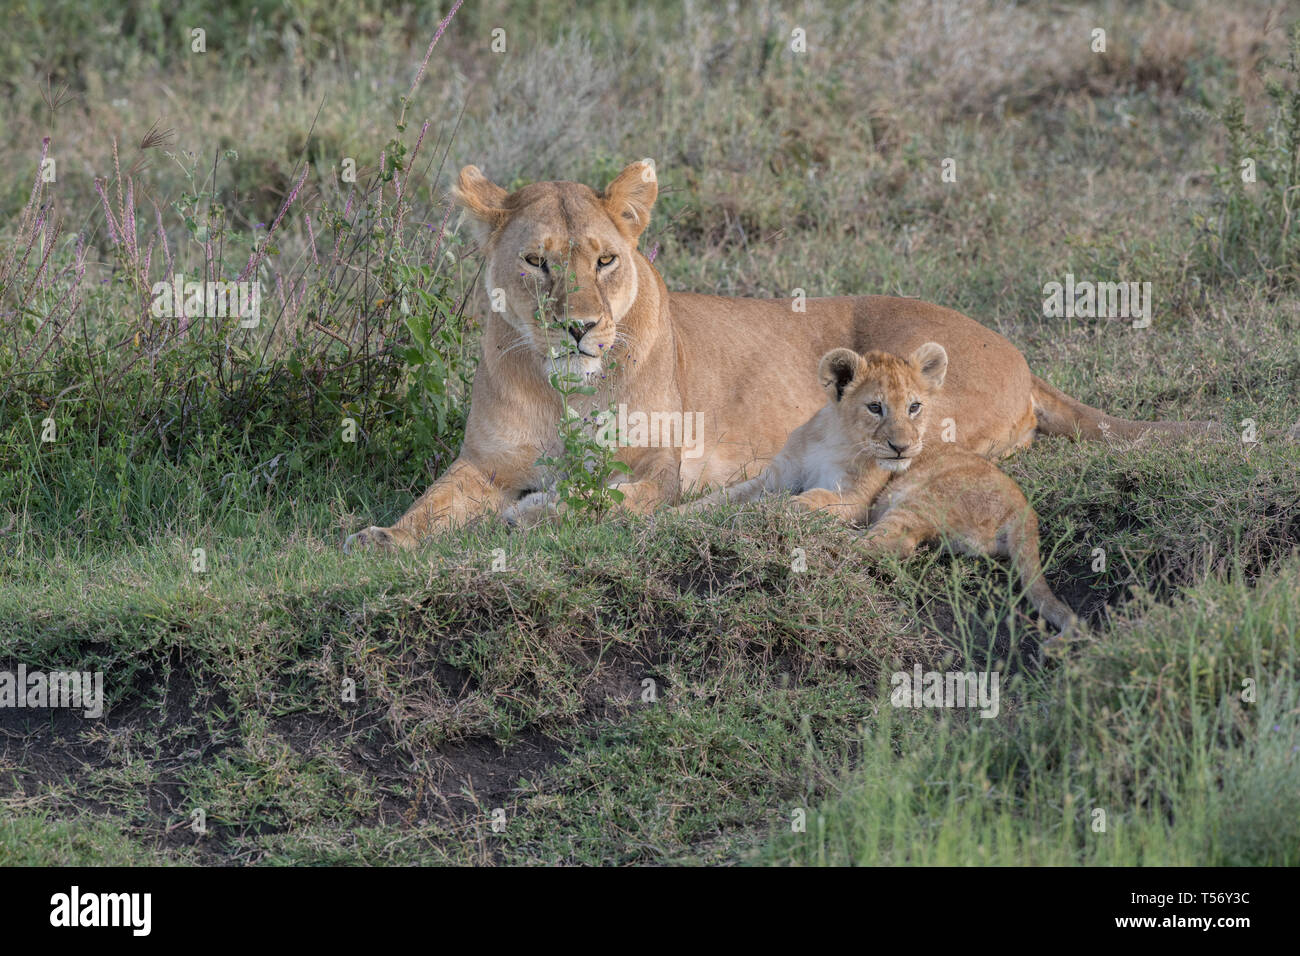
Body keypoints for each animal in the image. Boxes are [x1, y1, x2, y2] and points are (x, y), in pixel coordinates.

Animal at [344, 160, 1211, 553]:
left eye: (605, 261)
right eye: (536, 263)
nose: (581, 329)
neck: (566, 390)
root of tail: (1023, 358)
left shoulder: (657, 471)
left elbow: (594, 503)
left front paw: (536, 512)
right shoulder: (483, 465)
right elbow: (432, 504)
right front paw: (381, 539)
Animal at [677, 343, 1078, 637]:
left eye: (915, 407)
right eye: (875, 407)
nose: (901, 448)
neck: (836, 437)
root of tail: (1024, 510)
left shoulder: (855, 500)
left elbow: (810, 499)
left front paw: (764, 515)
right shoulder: (776, 475)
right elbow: (721, 498)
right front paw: (673, 518)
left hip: (920, 495)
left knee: (890, 543)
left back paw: (818, 541)